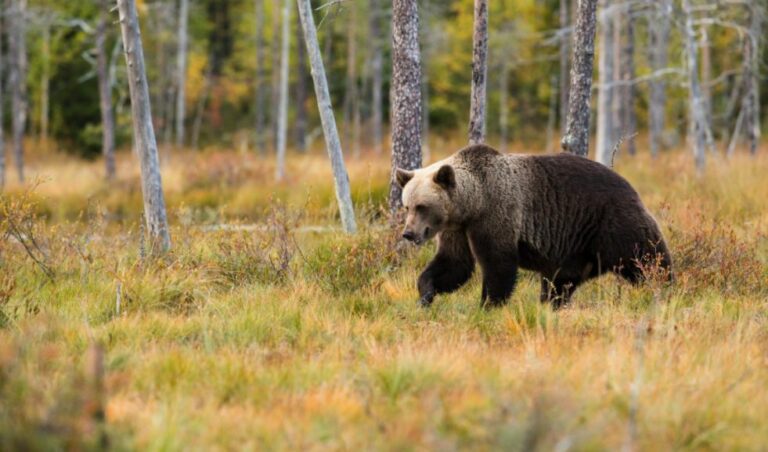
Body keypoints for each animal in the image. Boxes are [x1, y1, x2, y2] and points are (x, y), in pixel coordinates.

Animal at [396, 144, 672, 309]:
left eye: (422, 206)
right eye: (407, 206)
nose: (408, 233)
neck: (473, 203)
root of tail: (630, 186)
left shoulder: (497, 215)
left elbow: (498, 265)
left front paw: (488, 305)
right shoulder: (458, 229)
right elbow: (454, 264)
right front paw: (425, 295)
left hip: (612, 222)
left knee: (647, 257)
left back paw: (665, 288)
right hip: (574, 249)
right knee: (559, 282)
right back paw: (551, 305)